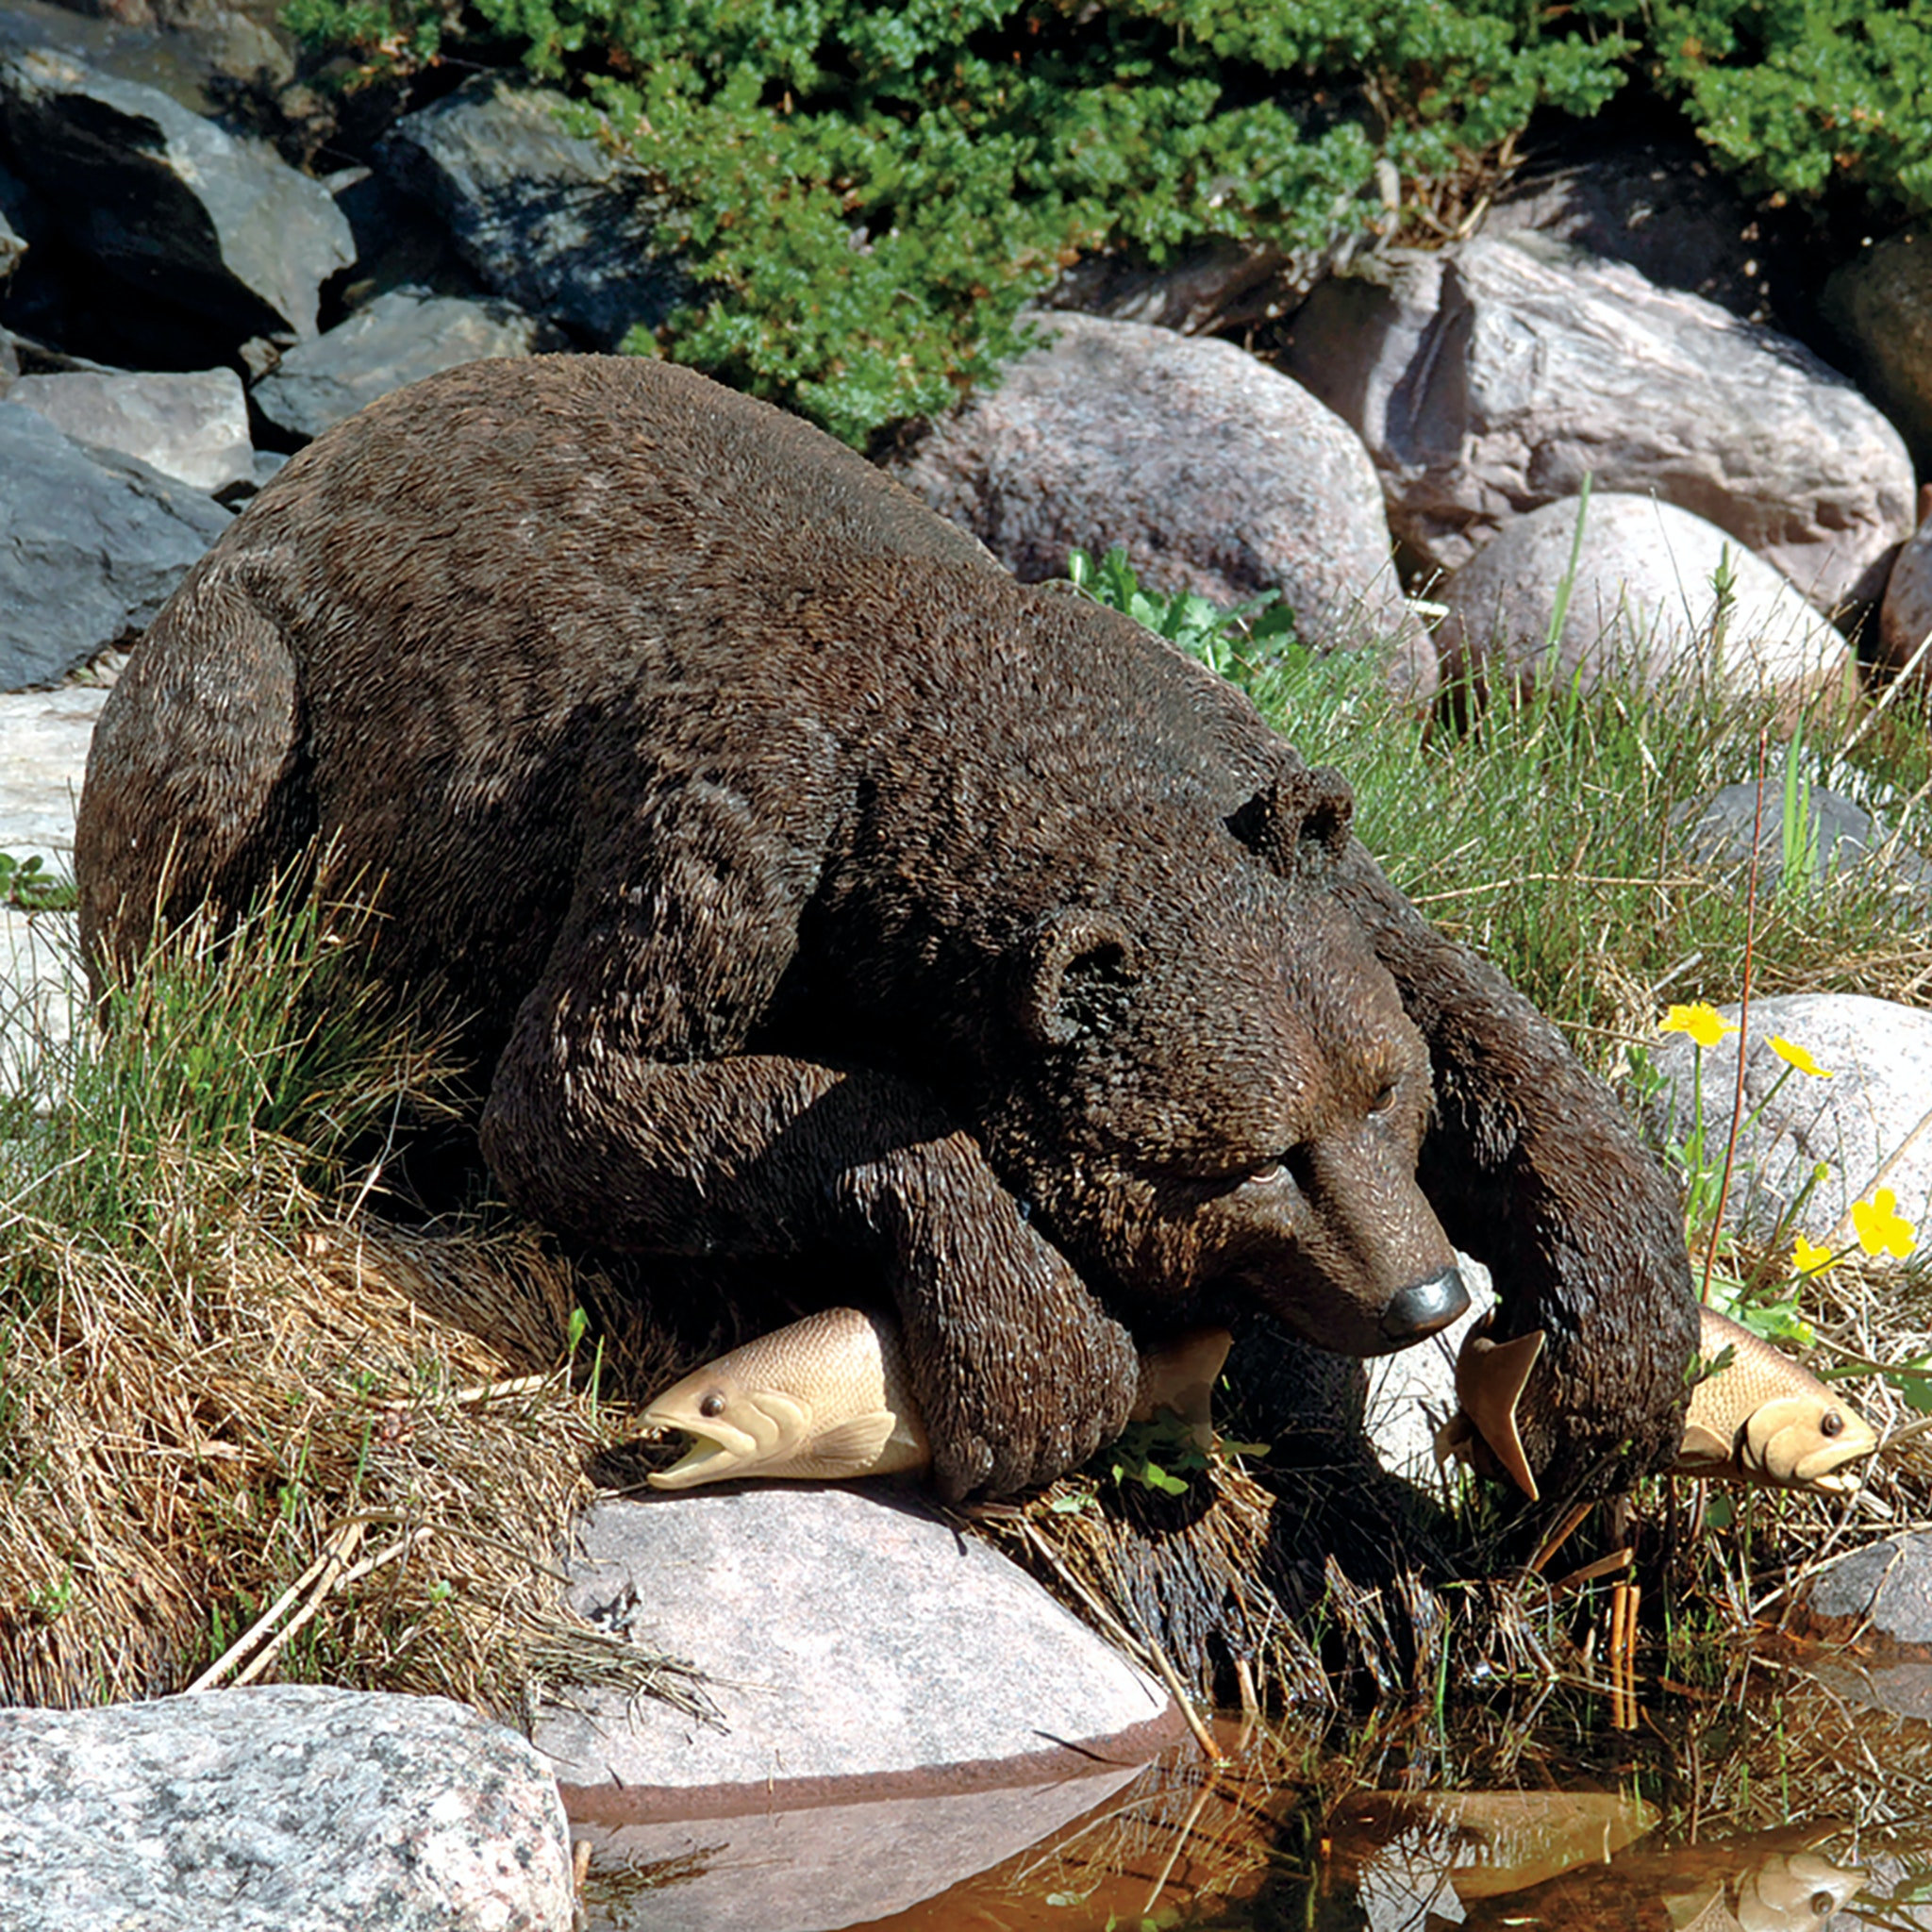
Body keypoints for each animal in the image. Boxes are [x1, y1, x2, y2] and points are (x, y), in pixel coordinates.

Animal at [75, 354, 1698, 1504]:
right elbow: (591, 1091)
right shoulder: (725, 808)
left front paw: (1605, 1355)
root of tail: (308, 462)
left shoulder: (1248, 777)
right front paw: (1038, 1359)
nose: (1426, 1292)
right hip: (248, 673)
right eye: (1245, 1161)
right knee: (201, 824)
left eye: (1381, 1095)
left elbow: (1472, 1001)